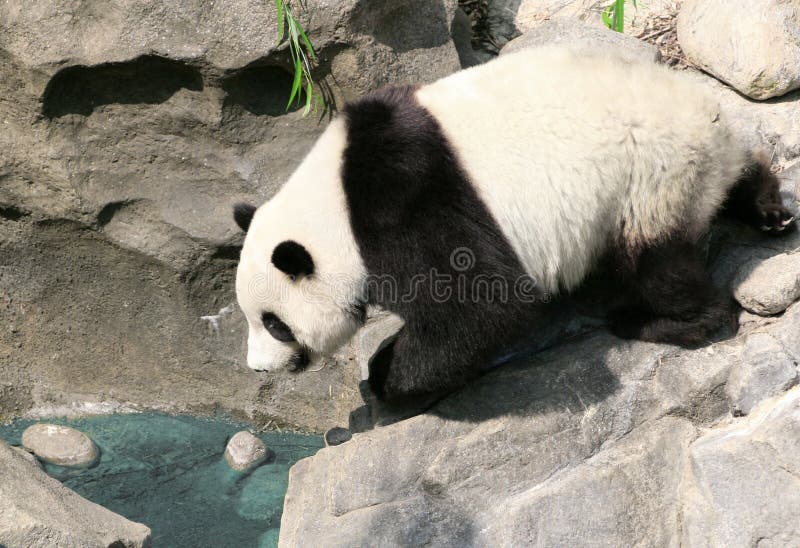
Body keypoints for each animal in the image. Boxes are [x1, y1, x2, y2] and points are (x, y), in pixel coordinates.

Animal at [233, 46, 794, 404]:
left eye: (274, 323)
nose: (258, 366)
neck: (334, 202)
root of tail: (707, 116)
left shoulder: (407, 198)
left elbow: (481, 303)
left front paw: (388, 377)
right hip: (693, 163)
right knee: (737, 173)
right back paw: (767, 209)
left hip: (652, 175)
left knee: (661, 268)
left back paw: (653, 320)